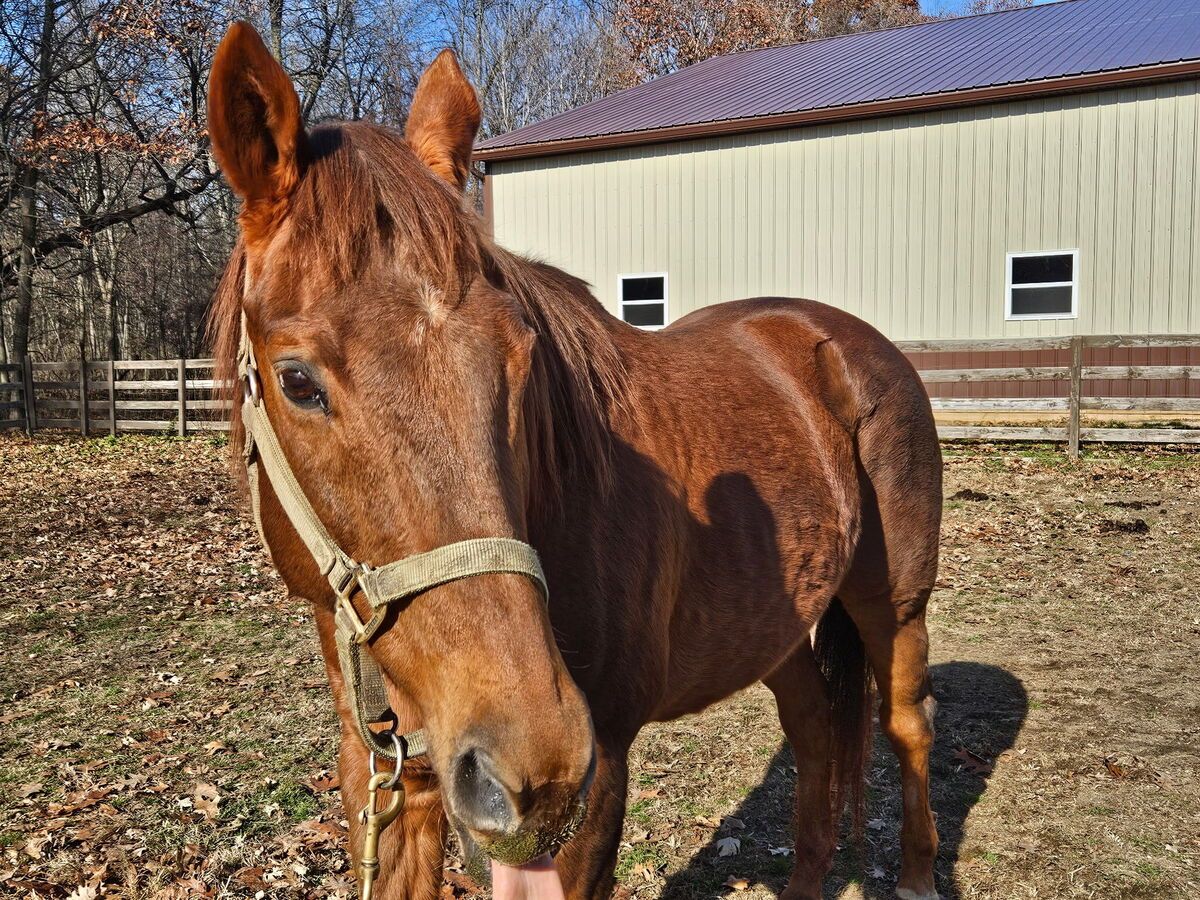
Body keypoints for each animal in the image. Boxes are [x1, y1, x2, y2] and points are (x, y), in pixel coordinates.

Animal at [206, 22, 943, 900]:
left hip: (892, 604)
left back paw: (918, 872)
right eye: (296, 381)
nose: (537, 766)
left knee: (906, 726)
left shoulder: (599, 778)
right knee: (814, 732)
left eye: (520, 359)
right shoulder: (386, 776)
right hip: (782, 625)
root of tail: (846, 339)